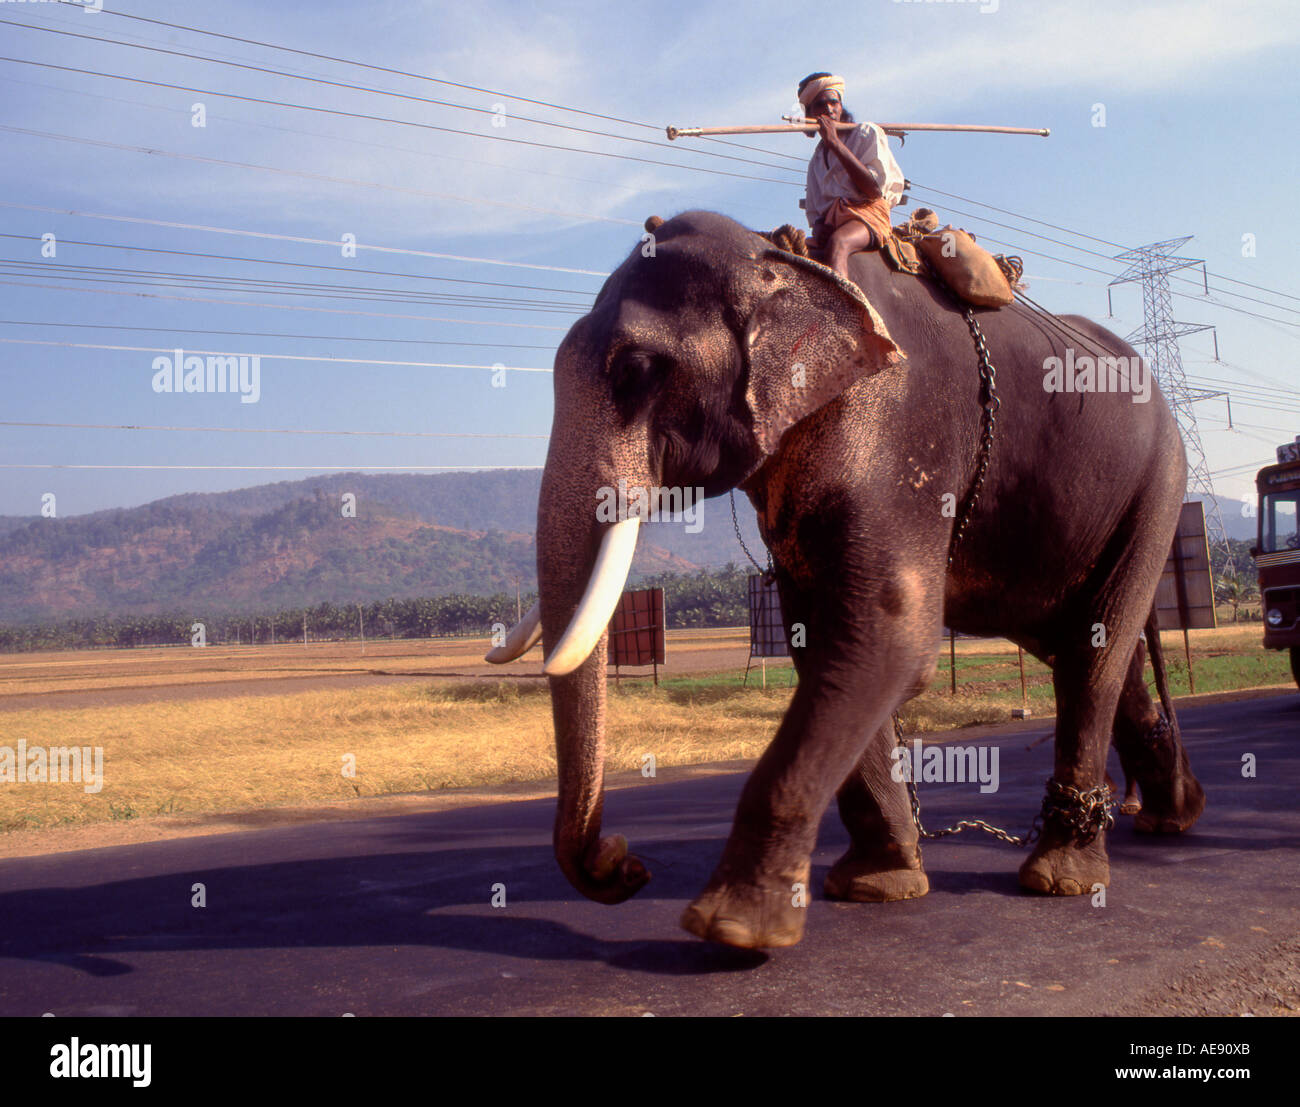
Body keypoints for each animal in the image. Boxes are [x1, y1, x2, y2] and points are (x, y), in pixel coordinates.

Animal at [488, 209, 1205, 949]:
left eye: (633, 369)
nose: (624, 863)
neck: (785, 260)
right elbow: (824, 639)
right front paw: (874, 885)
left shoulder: (898, 428)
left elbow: (890, 636)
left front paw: (733, 927)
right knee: (1082, 647)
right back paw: (1169, 815)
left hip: (1157, 485)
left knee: (1093, 653)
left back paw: (1061, 876)